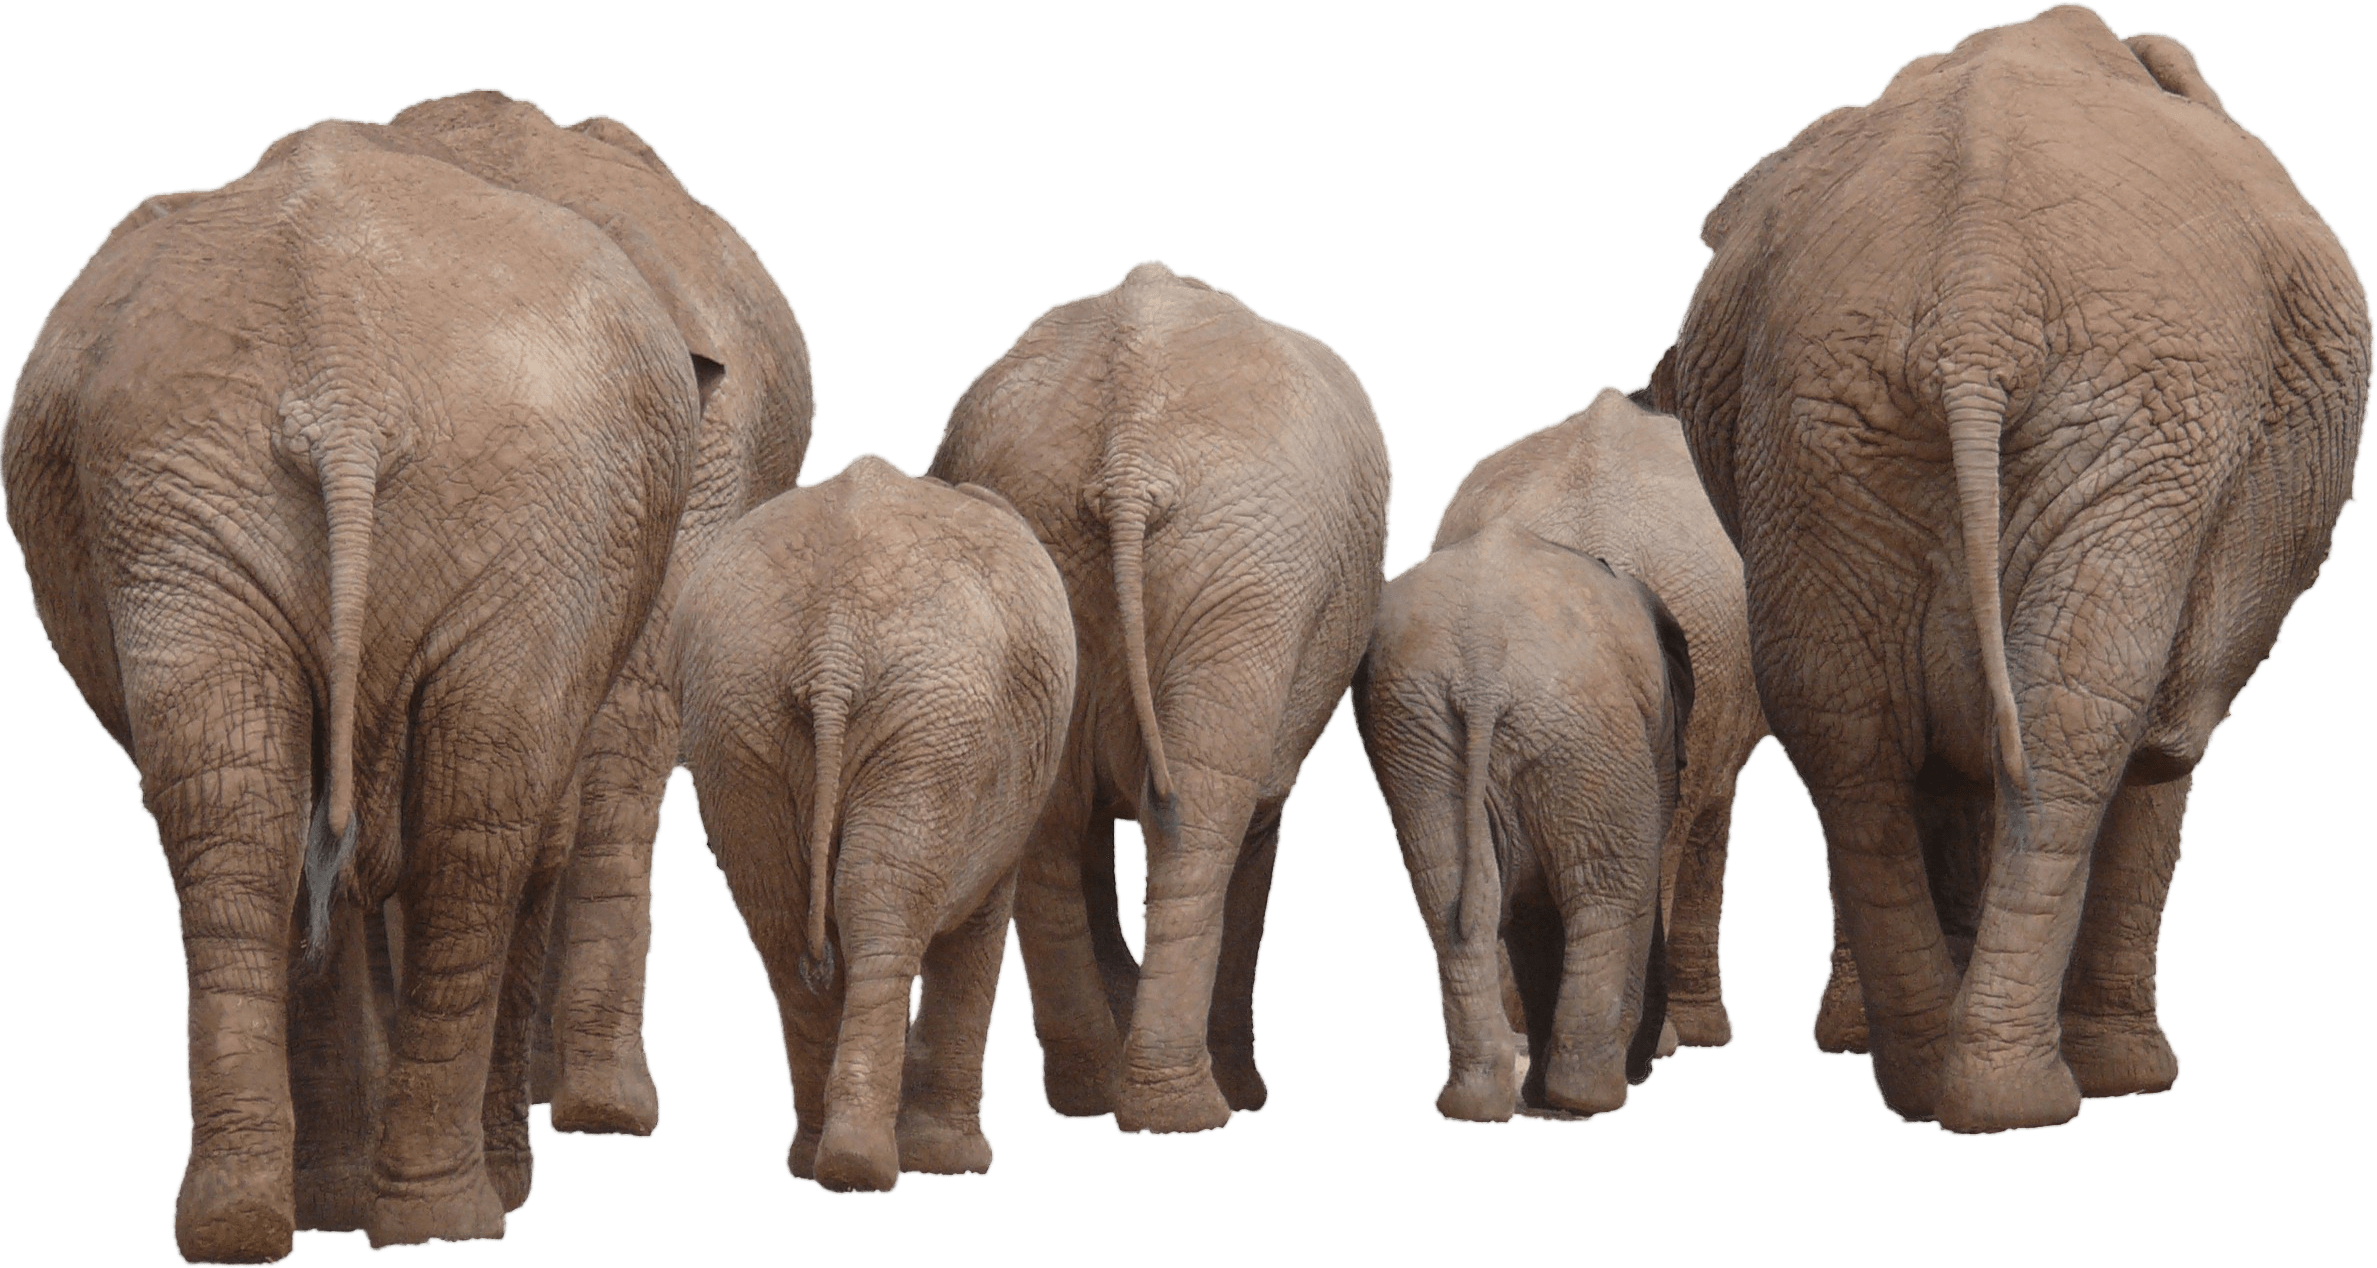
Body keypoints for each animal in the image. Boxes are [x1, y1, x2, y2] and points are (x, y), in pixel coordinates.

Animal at [0, 116, 707, 1259]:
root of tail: (344, 383)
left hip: (191, 493)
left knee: (241, 796)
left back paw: (254, 1223)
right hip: (454, 490)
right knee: (470, 812)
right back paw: (440, 1216)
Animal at [671, 454, 1076, 1194]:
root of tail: (832, 640)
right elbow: (978, 921)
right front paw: (954, 1163)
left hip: (738, 715)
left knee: (781, 922)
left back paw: (825, 1162)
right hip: (926, 719)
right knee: (879, 908)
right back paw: (863, 1166)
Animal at [924, 260, 1393, 1135]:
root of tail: (1127, 450)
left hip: (1063, 543)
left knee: (1055, 815)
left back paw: (1091, 1096)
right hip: (1249, 577)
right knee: (1202, 814)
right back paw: (1191, 1112)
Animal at [1352, 520, 1693, 1123]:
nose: (1647, 1066)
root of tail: (1482, 669)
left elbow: (1527, 915)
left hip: (1418, 730)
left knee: (1451, 898)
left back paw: (1476, 1106)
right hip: (1581, 725)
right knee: (1607, 892)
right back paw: (1592, 1100)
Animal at [1648, 2, 2372, 1133]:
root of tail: (1973, 298)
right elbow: (2162, 742)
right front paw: (2132, 1078)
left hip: (1819, 424)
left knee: (1845, 719)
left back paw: (1928, 1084)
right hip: (2127, 416)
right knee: (2078, 713)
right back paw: (2026, 1099)